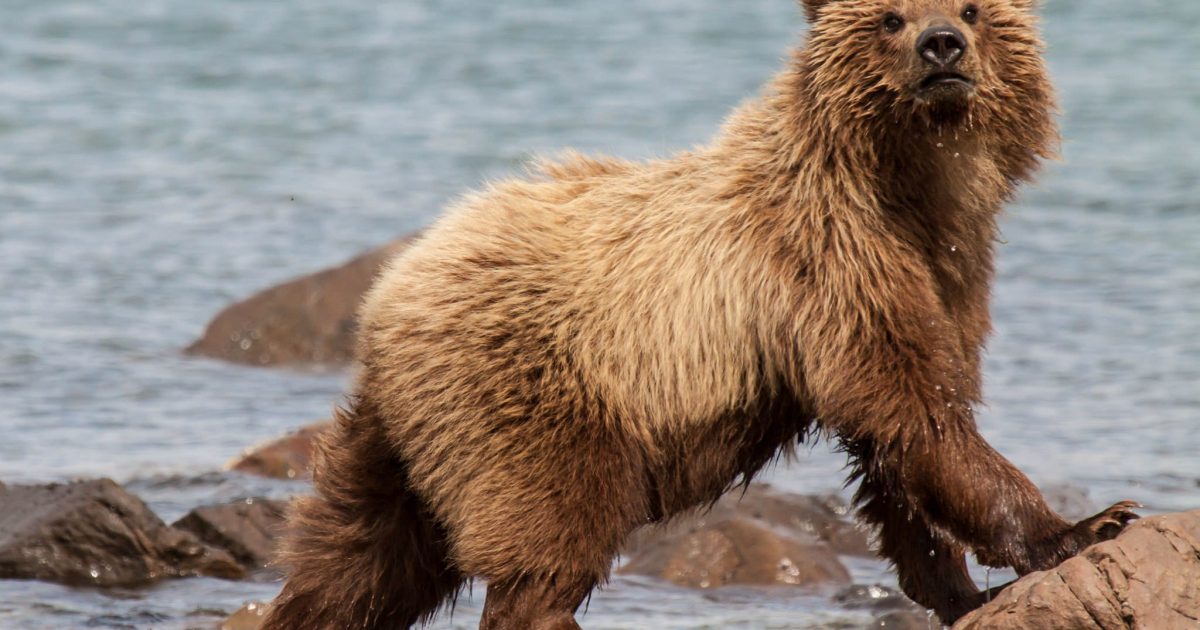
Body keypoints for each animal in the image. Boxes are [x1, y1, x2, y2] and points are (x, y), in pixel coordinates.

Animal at [262, 0, 1139, 627]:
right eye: (891, 16)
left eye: (974, 7)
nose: (942, 47)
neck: (911, 186)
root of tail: (390, 292)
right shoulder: (833, 264)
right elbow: (915, 414)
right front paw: (1088, 524)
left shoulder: (945, 276)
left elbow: (899, 444)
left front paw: (962, 589)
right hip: (535, 399)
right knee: (550, 541)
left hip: (405, 434)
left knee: (355, 561)